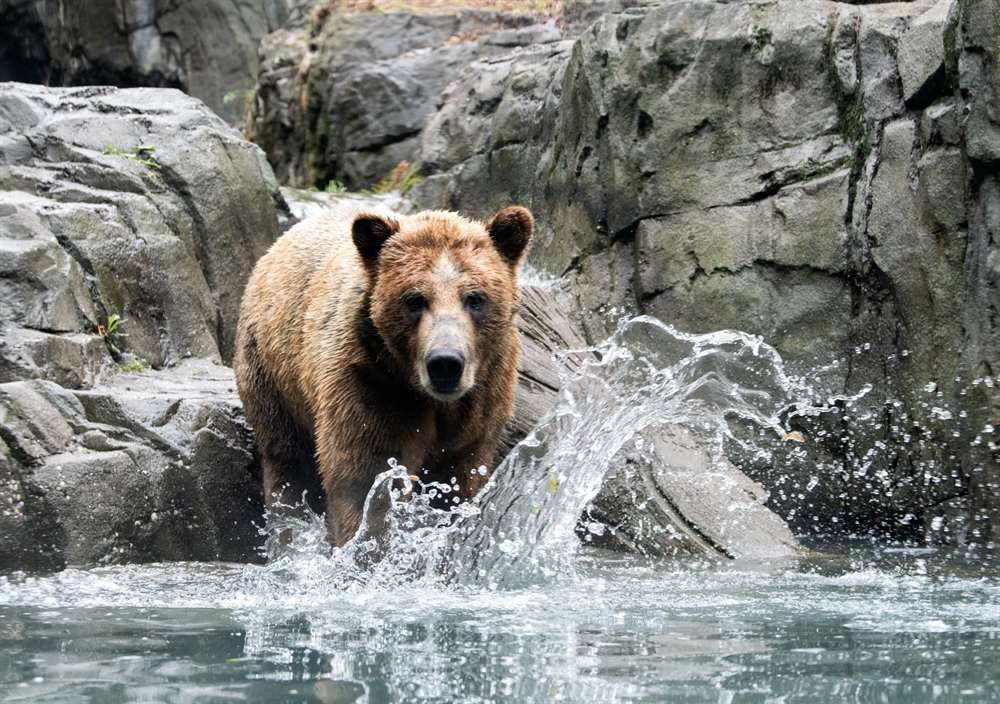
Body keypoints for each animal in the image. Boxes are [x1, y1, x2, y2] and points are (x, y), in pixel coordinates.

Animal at [234, 205, 533, 547]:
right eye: (415, 299)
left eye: (475, 298)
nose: (445, 363)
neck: (427, 396)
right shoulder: (370, 385)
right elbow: (365, 478)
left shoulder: (482, 402)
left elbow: (460, 480)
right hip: (274, 374)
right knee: (287, 461)